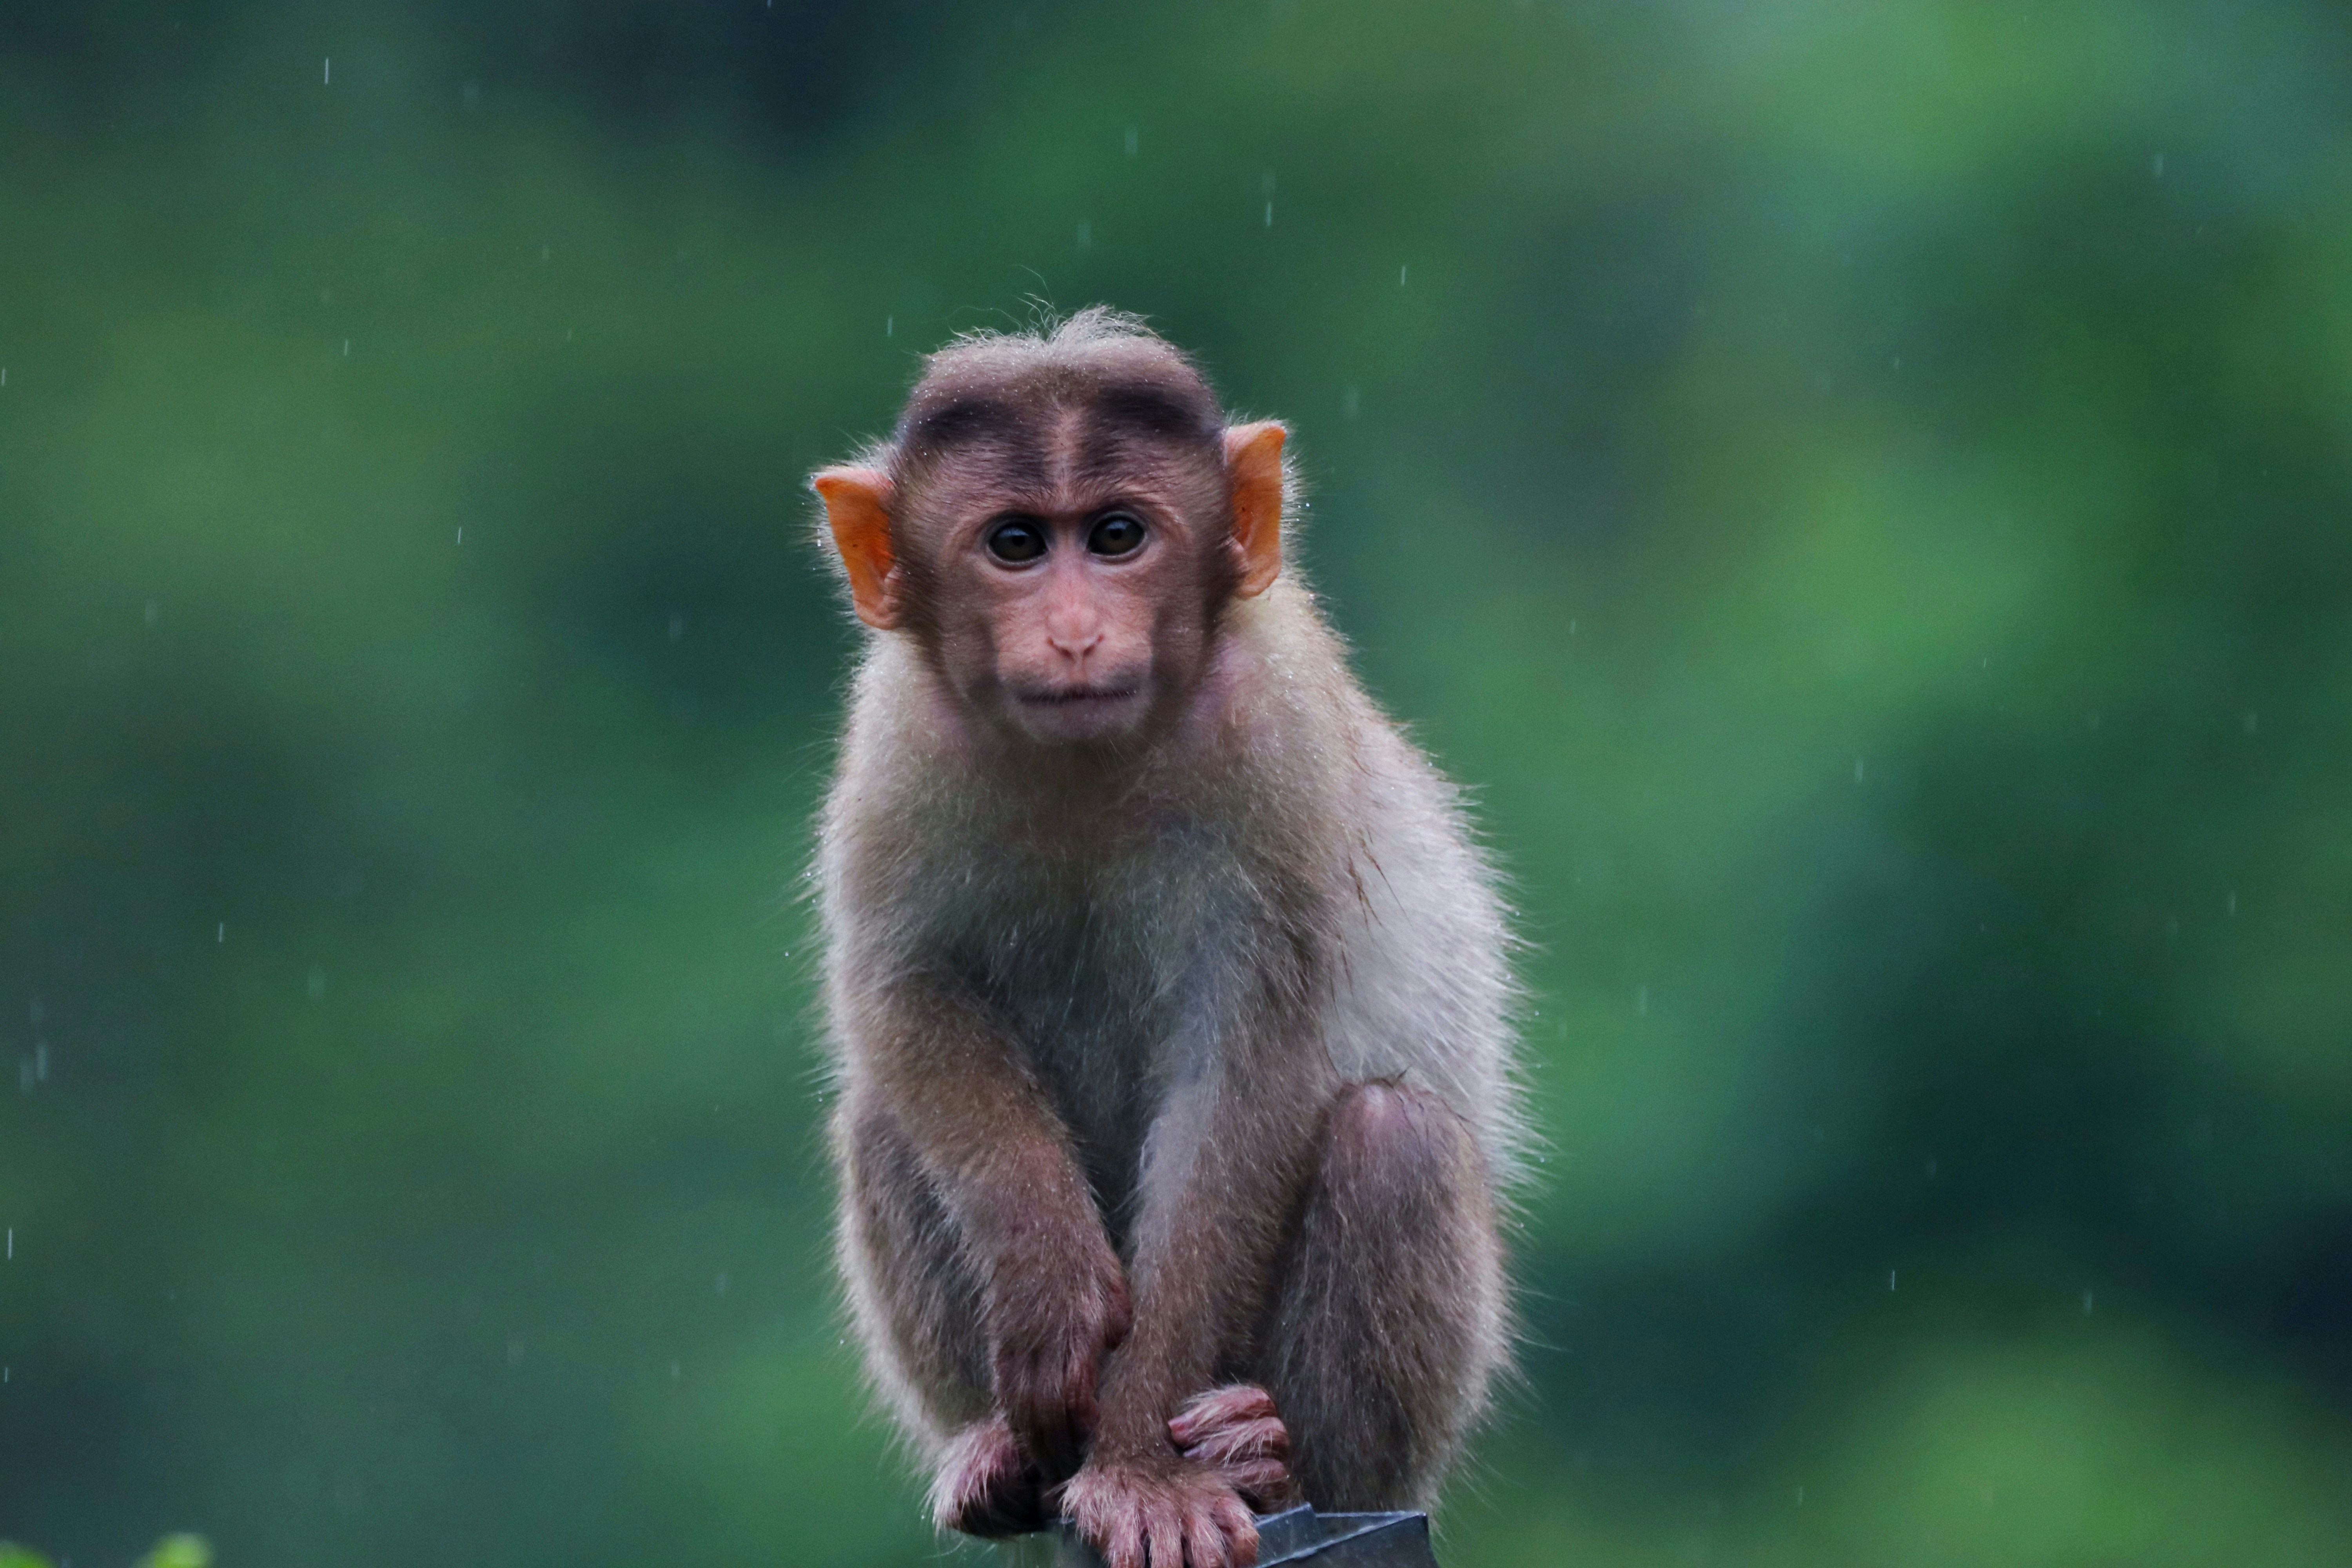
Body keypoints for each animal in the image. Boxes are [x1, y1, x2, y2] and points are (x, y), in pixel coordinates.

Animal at [808, 308, 1519, 1568]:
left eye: (1119, 536)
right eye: (1016, 544)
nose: (1076, 634)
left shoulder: (1275, 735)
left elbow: (1244, 1076)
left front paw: (1144, 1471)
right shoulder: (896, 737)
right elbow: (903, 990)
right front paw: (1052, 1288)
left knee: (1392, 1142)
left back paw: (1266, 1457)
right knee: (885, 1120)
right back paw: (996, 1457)